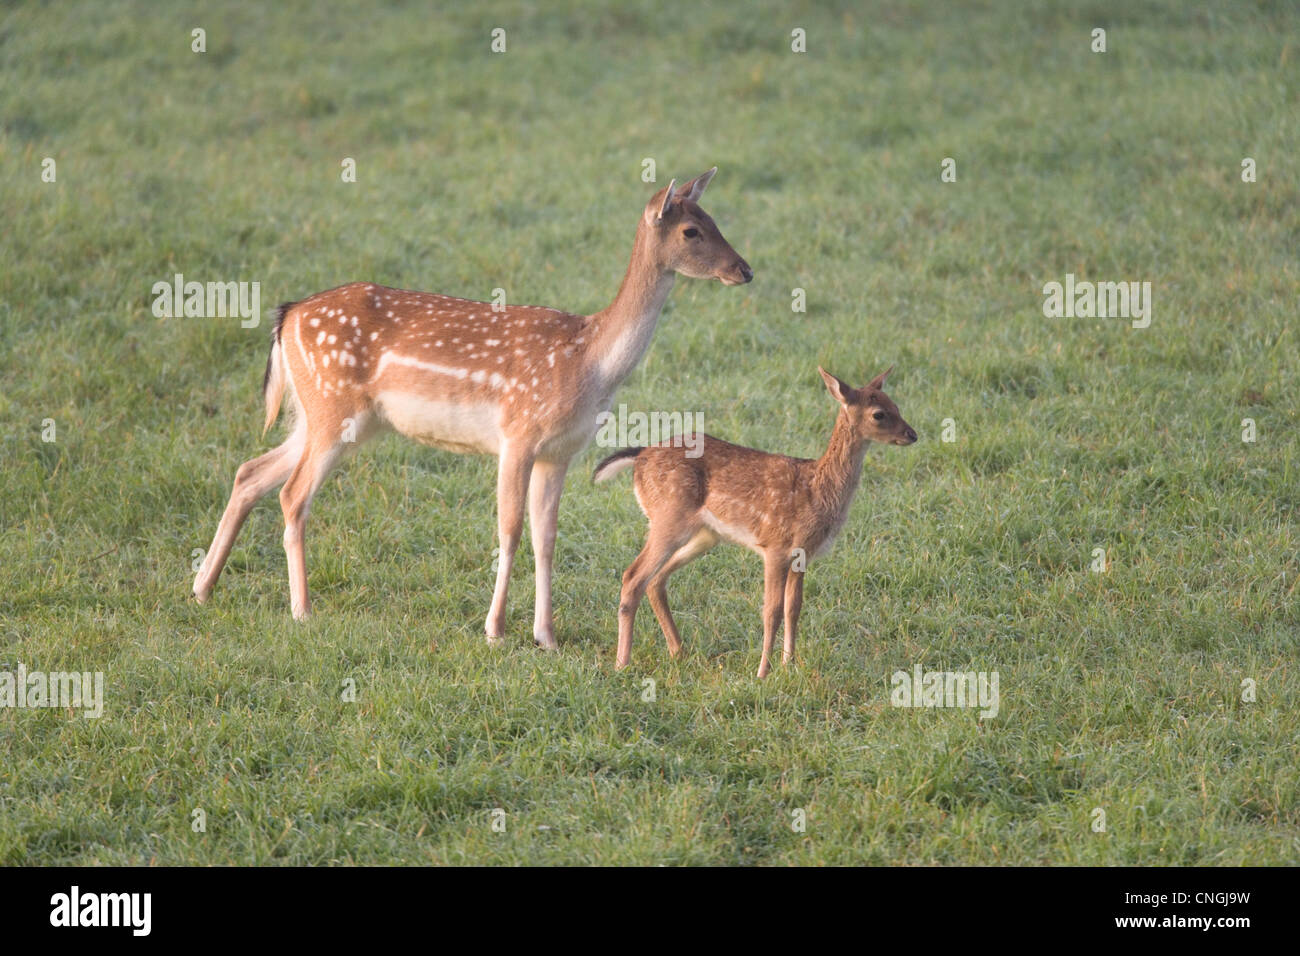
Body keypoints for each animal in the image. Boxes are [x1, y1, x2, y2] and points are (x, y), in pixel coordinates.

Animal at [191, 168, 752, 651]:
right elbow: (509, 530)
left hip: (327, 417)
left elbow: (547, 536)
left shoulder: (560, 452)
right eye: (691, 230)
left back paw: (202, 588)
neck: (588, 360)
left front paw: (546, 636)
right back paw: (301, 609)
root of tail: (286, 317)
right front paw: (496, 630)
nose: (744, 269)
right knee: (292, 493)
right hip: (332, 408)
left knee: (250, 471)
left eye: (715, 219)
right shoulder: (517, 433)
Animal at [593, 366, 917, 678]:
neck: (817, 490)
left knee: (656, 580)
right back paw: (622, 663)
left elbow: (794, 607)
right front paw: (763, 672)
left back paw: (678, 652)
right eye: (879, 414)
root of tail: (639, 457)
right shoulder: (775, 545)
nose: (912, 434)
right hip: (668, 517)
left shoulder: (802, 554)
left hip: (704, 534)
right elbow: (771, 610)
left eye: (897, 404)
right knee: (633, 576)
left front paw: (789, 664)